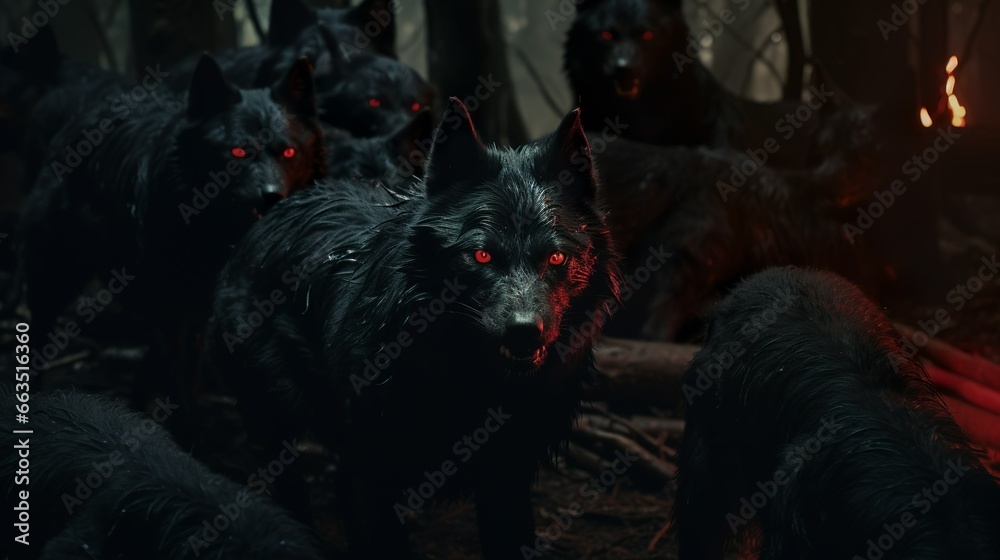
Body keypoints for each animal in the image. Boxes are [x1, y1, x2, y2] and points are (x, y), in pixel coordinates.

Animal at [210, 99, 620, 558]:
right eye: (481, 255)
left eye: (555, 258)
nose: (524, 331)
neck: (472, 384)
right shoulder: (376, 474)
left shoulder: (506, 477)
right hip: (274, 429)